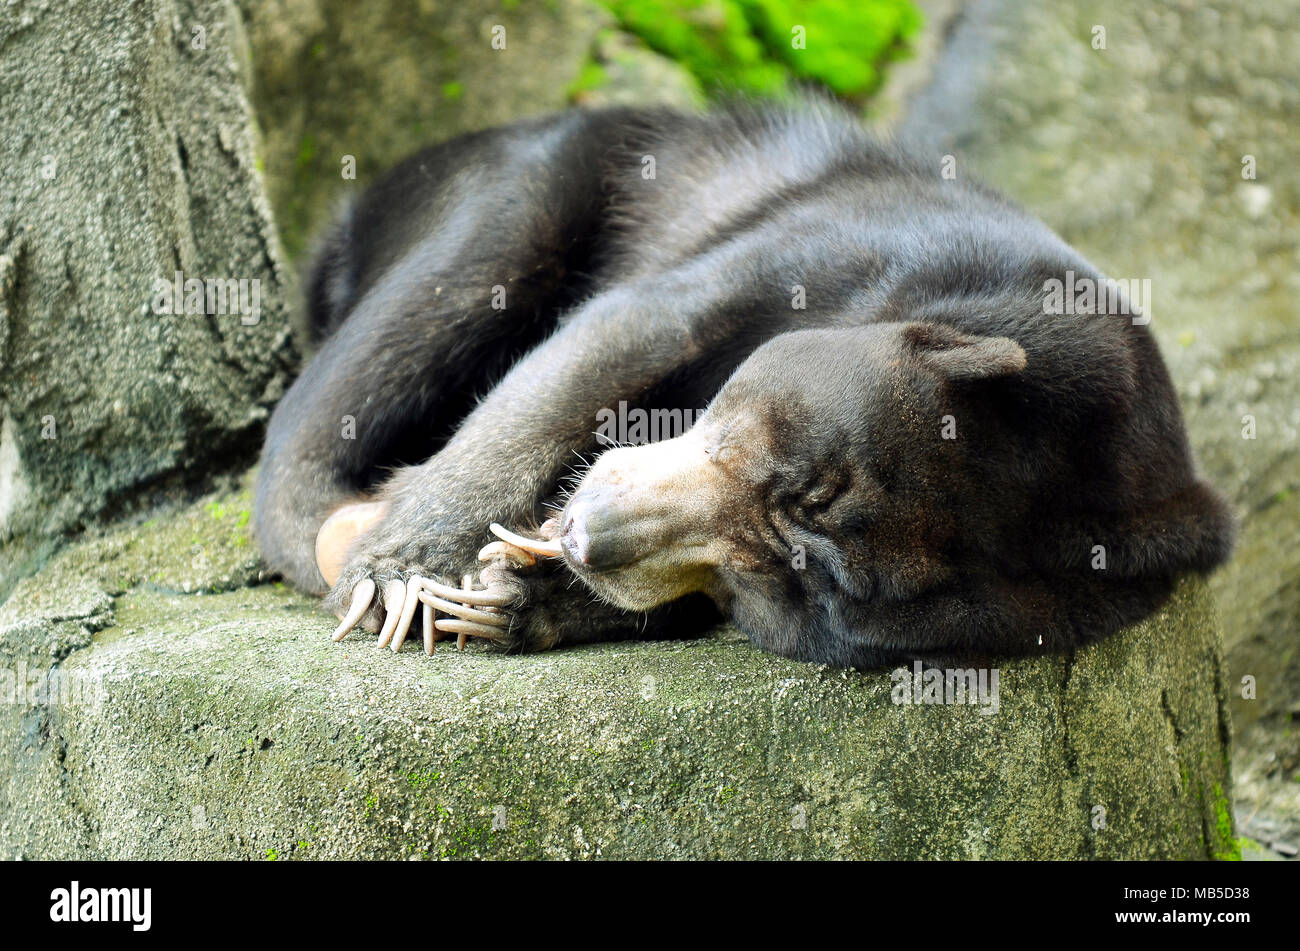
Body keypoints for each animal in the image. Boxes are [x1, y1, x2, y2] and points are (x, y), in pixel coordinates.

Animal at [253, 100, 1235, 669]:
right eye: (766, 449)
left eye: (770, 585)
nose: (586, 534)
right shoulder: (846, 239)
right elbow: (619, 335)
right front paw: (404, 577)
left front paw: (509, 599)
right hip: (525, 180)